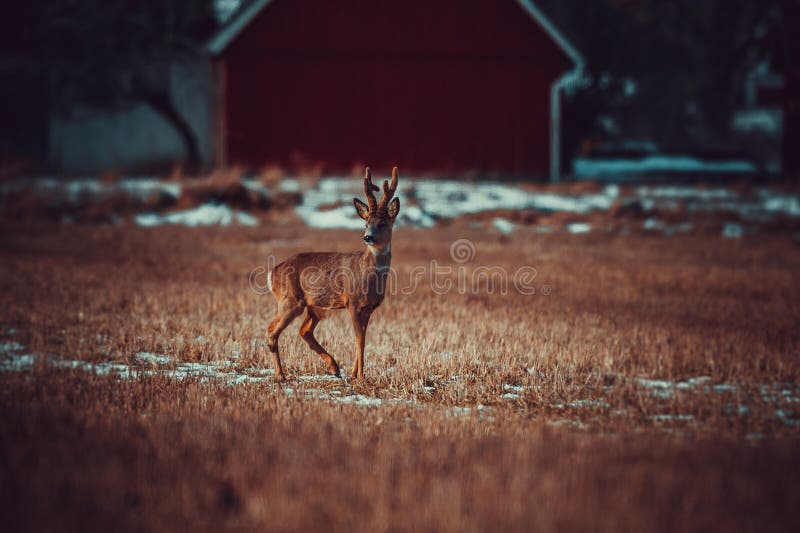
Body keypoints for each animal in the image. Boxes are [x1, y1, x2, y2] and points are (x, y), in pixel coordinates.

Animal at [265, 167, 400, 381]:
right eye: (366, 224)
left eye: (383, 223)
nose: (367, 237)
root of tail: (273, 272)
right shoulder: (352, 302)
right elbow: (359, 339)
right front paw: (360, 376)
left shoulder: (369, 308)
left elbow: (363, 338)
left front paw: (354, 374)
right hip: (290, 300)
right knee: (272, 330)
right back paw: (280, 375)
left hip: (313, 306)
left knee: (304, 331)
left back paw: (334, 368)